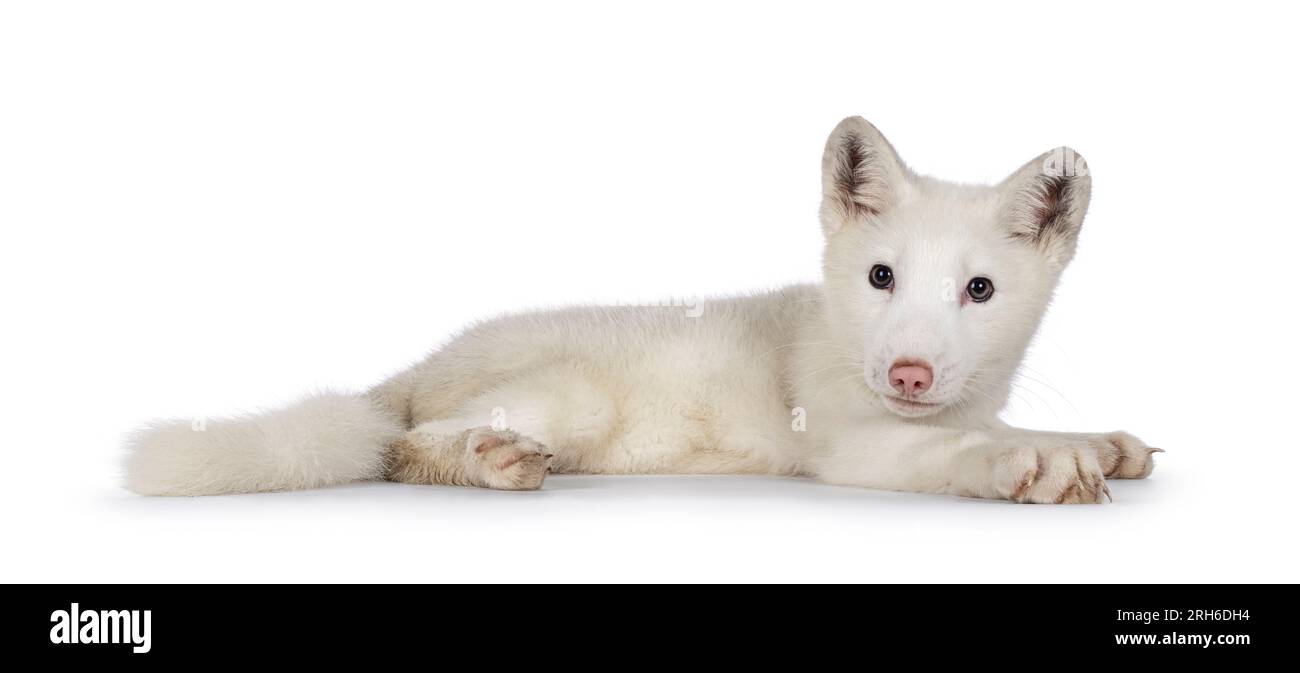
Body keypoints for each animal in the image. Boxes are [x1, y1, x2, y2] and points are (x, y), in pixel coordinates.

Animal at [124, 117, 1160, 503]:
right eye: (880, 277)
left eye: (978, 290)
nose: (907, 372)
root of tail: (422, 361)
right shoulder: (848, 445)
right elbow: (959, 450)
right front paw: (1034, 464)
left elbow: (1008, 423)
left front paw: (1101, 442)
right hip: (564, 400)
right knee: (399, 447)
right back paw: (490, 460)